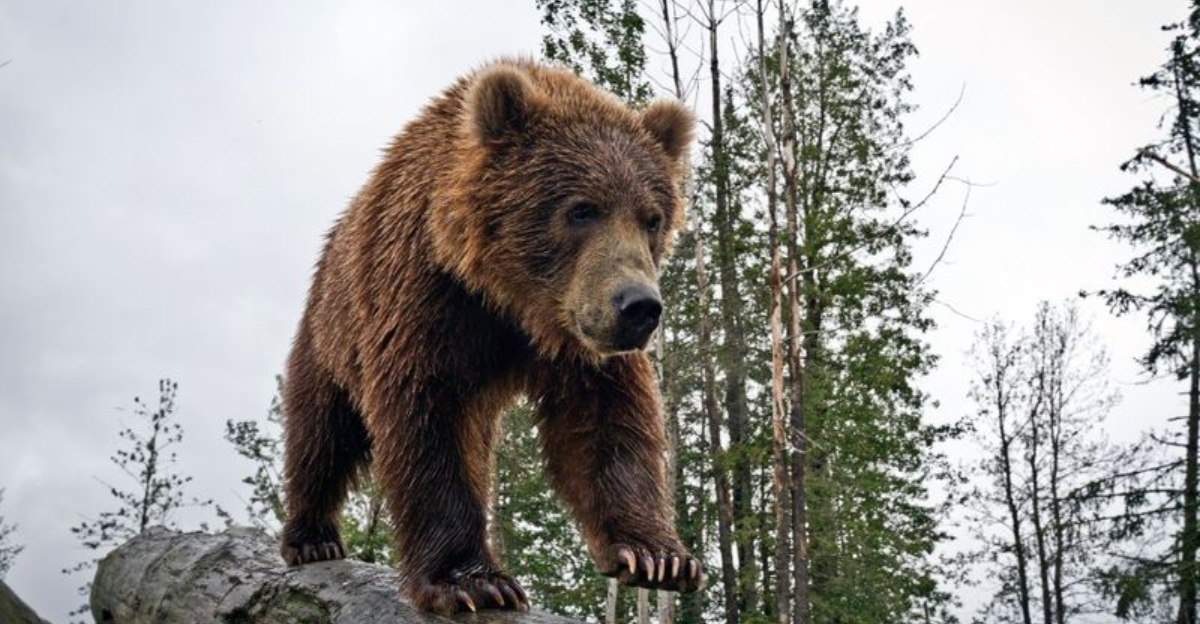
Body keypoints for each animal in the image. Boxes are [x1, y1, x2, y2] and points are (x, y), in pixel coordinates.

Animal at [278, 58, 701, 615]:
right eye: (581, 209)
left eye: (651, 218)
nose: (639, 307)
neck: (512, 302)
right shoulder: (426, 300)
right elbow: (426, 419)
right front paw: (472, 581)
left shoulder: (578, 341)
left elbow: (607, 422)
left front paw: (656, 556)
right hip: (331, 330)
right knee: (320, 430)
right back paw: (311, 537)